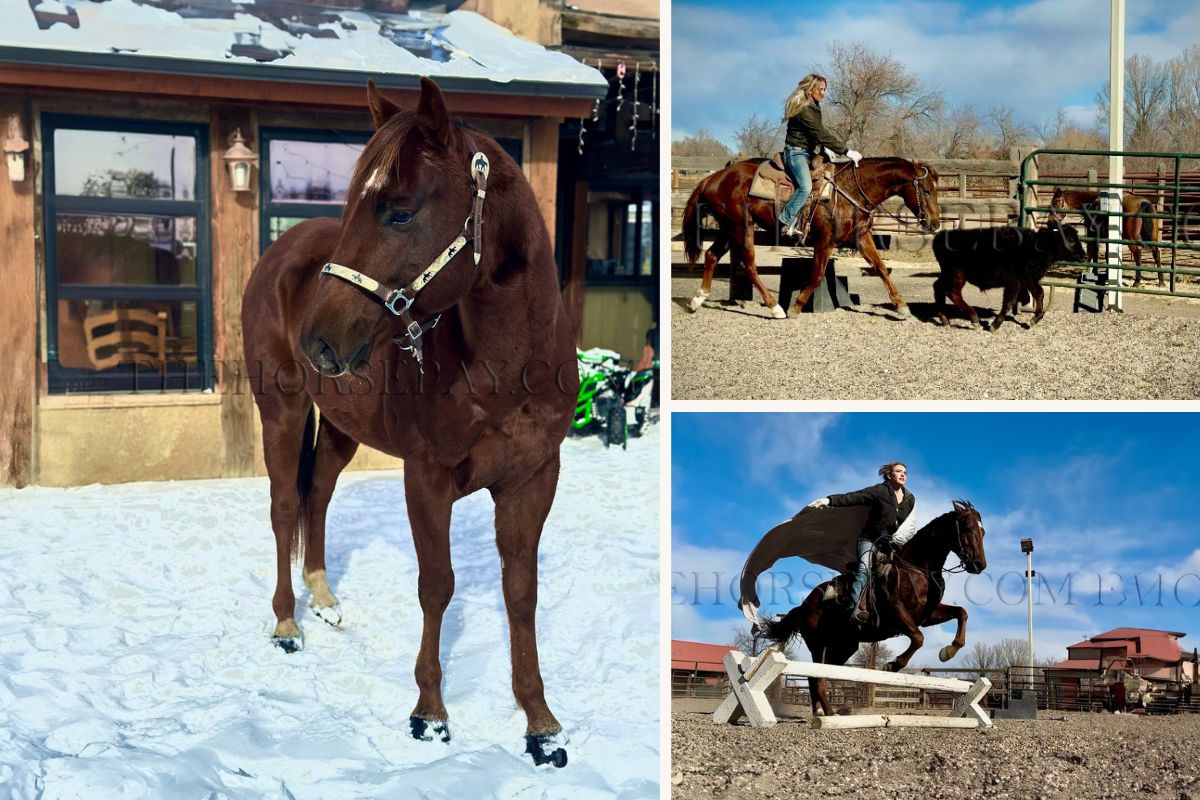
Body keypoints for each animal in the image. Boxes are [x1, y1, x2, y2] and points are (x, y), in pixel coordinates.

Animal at [241, 78, 576, 768]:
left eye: (400, 212)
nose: (318, 340)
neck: (508, 366)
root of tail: (281, 250)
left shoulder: (533, 481)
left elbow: (520, 593)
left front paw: (540, 724)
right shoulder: (427, 478)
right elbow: (437, 586)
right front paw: (431, 713)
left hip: (342, 425)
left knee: (318, 493)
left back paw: (325, 598)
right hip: (281, 409)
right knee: (285, 505)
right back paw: (287, 623)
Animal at [681, 157, 942, 318]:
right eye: (926, 190)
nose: (935, 223)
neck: (850, 190)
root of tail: (712, 178)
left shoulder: (861, 238)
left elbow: (881, 268)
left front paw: (902, 307)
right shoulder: (825, 242)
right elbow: (816, 276)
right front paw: (796, 307)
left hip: (728, 228)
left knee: (712, 255)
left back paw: (698, 300)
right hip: (741, 228)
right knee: (749, 265)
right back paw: (776, 308)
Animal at [756, 500, 986, 718]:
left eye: (983, 531)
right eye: (967, 527)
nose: (979, 565)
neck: (916, 568)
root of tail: (804, 605)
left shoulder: (926, 615)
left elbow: (961, 612)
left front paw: (949, 651)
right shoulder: (896, 612)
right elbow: (918, 638)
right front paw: (893, 665)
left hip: (844, 646)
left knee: (825, 672)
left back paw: (823, 711)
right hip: (817, 643)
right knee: (817, 677)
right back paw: (829, 713)